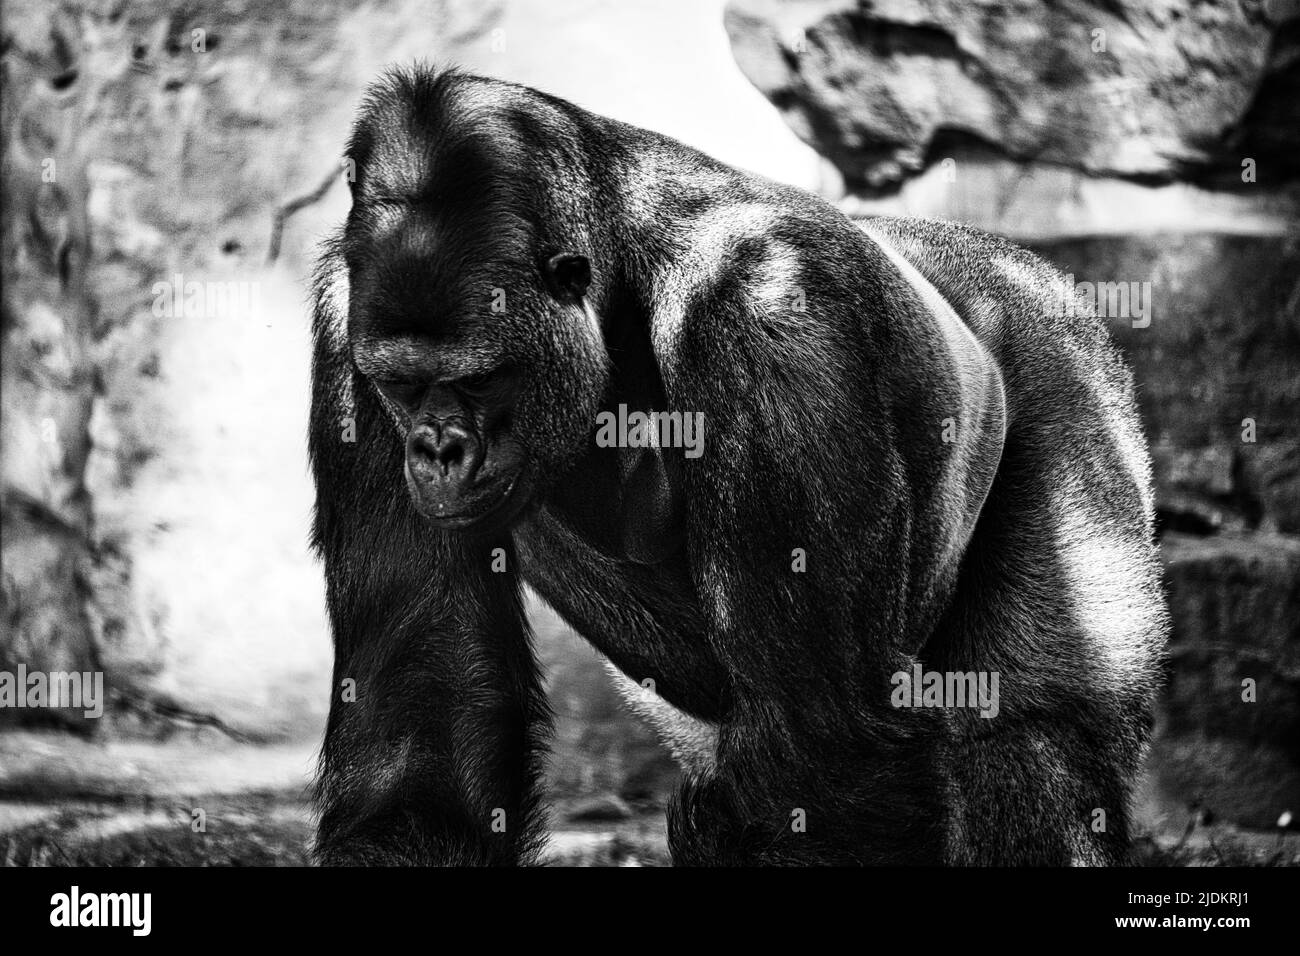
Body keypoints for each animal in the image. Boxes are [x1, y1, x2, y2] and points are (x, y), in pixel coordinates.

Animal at [307, 65, 1167, 866]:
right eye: (402, 386)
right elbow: (426, 705)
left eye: (480, 380)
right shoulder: (345, 318)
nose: (438, 450)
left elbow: (828, 746)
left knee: (1032, 731)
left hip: (1059, 351)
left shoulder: (770, 311)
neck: (615, 268)